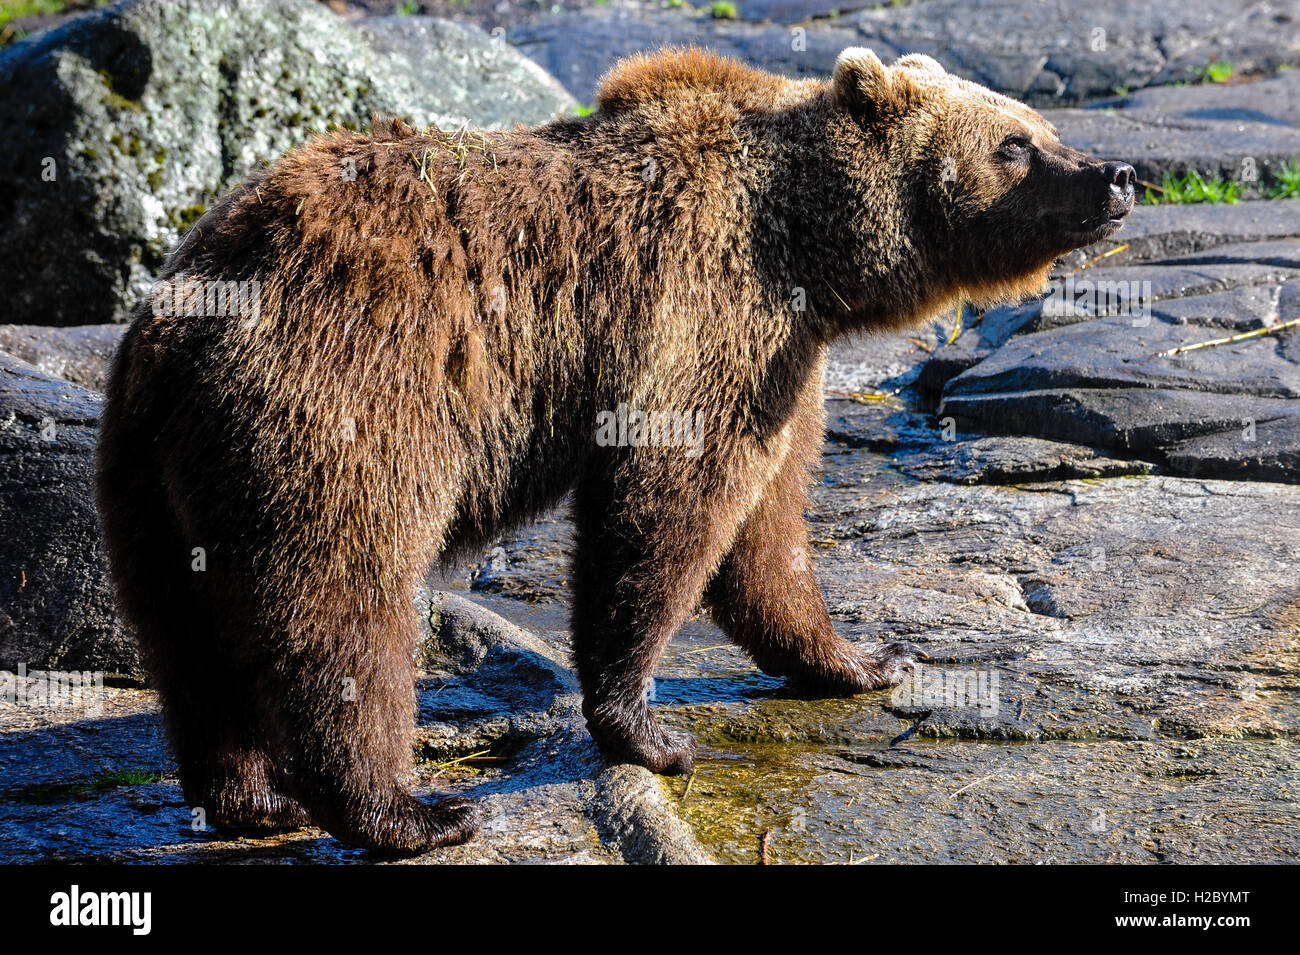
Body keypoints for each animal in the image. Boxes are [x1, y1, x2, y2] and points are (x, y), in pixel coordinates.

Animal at [95, 47, 1135, 854]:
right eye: (1013, 143)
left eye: (1040, 124)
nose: (1116, 175)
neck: (805, 243)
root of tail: (188, 316)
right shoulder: (704, 310)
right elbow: (668, 508)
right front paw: (648, 732)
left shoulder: (781, 358)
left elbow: (768, 532)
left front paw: (862, 655)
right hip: (350, 404)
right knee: (344, 599)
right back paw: (408, 810)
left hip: (150, 467)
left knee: (185, 625)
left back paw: (247, 796)